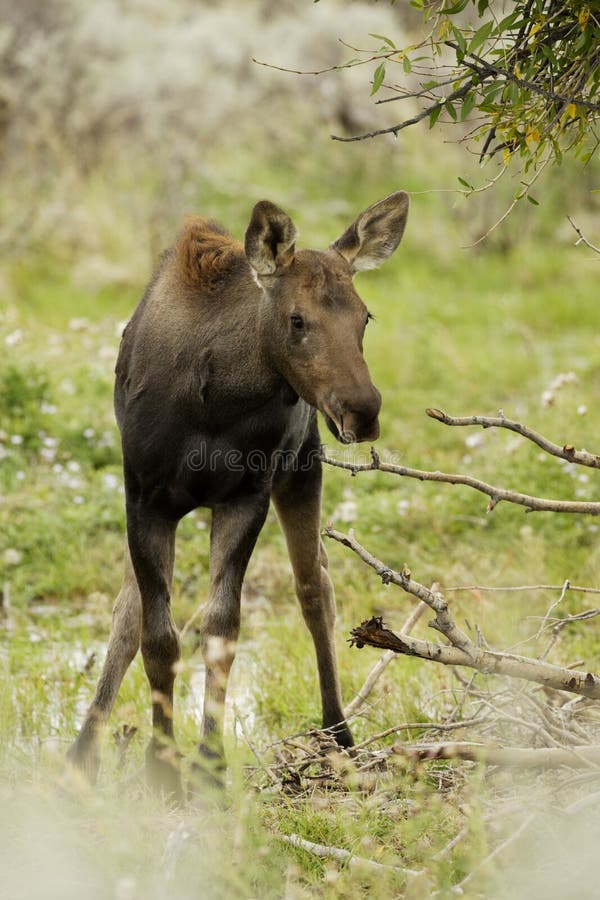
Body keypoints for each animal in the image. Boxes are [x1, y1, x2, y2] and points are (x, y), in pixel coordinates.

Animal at [67, 191, 409, 795]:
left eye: (364, 316)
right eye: (298, 318)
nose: (362, 410)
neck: (216, 396)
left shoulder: (247, 494)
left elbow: (222, 628)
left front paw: (207, 763)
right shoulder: (144, 499)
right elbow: (157, 636)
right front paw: (162, 768)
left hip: (302, 467)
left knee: (315, 588)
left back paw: (339, 734)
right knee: (127, 610)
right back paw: (83, 754)